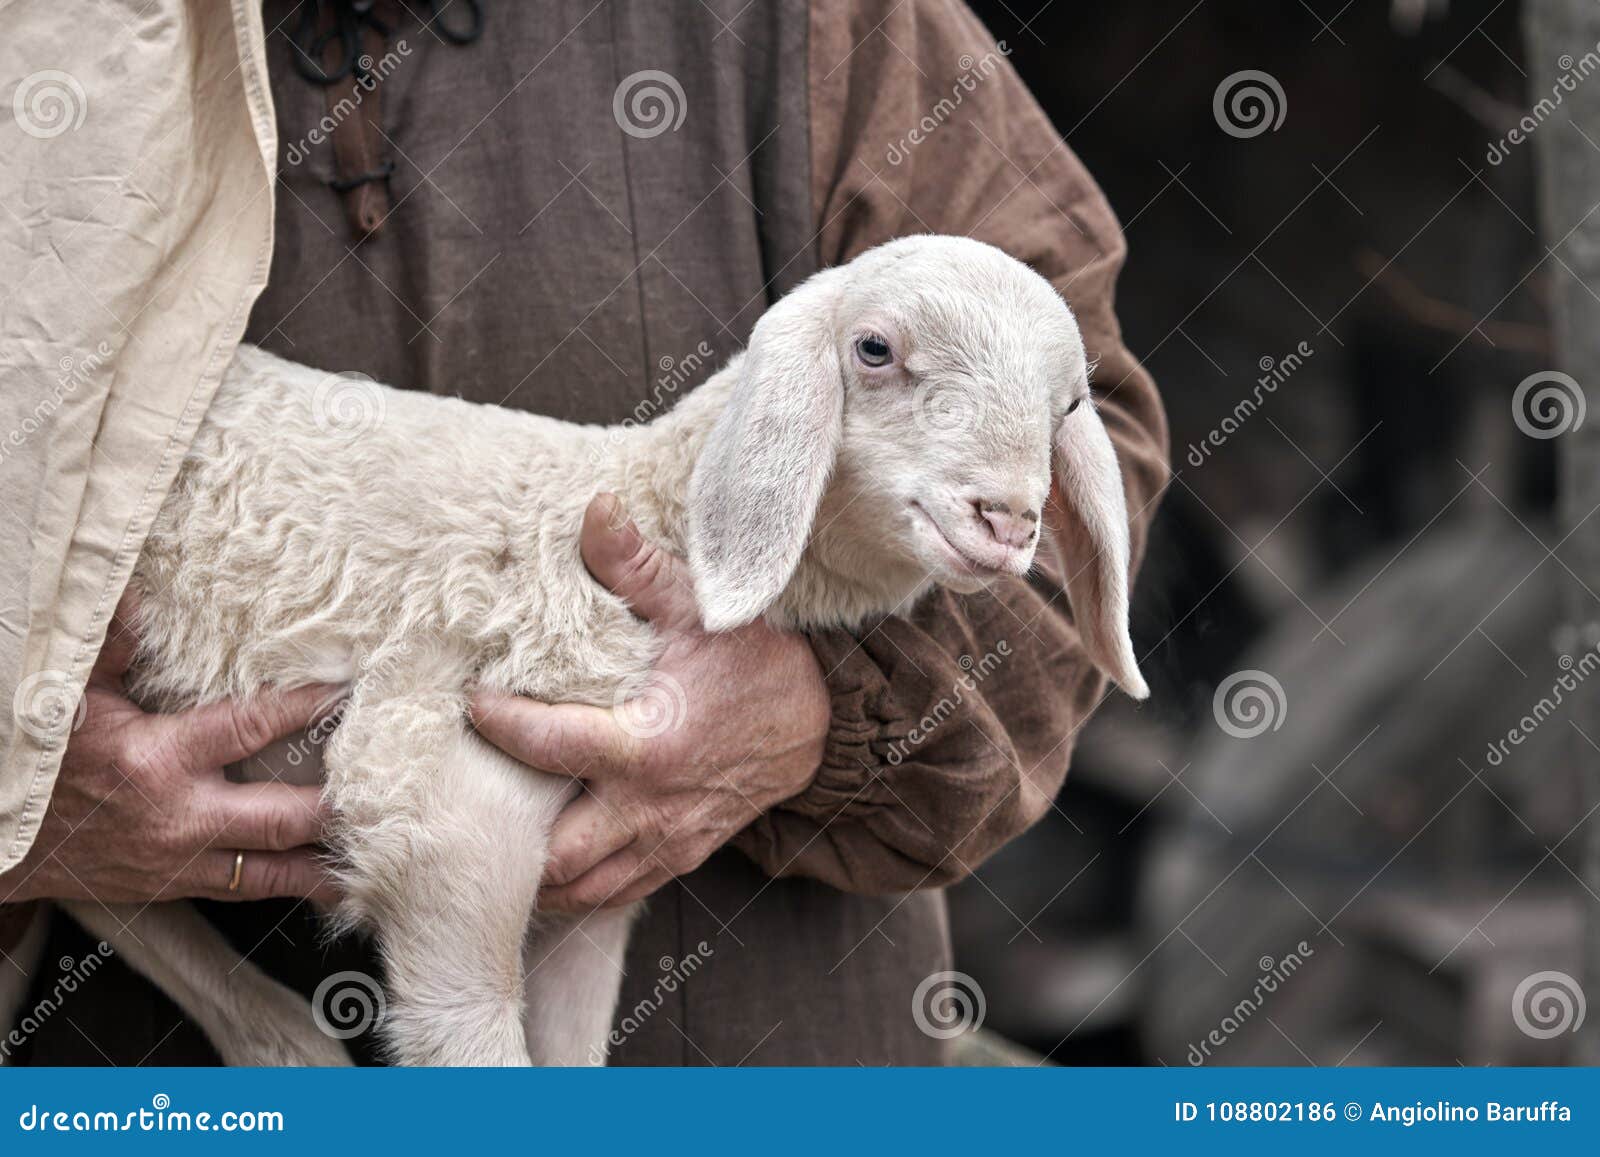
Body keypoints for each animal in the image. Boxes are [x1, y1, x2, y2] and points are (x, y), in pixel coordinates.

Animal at [15, 234, 1148, 1066]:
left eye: (1068, 404)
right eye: (873, 349)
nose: (1006, 519)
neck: (639, 502)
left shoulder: (596, 889)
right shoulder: (444, 804)